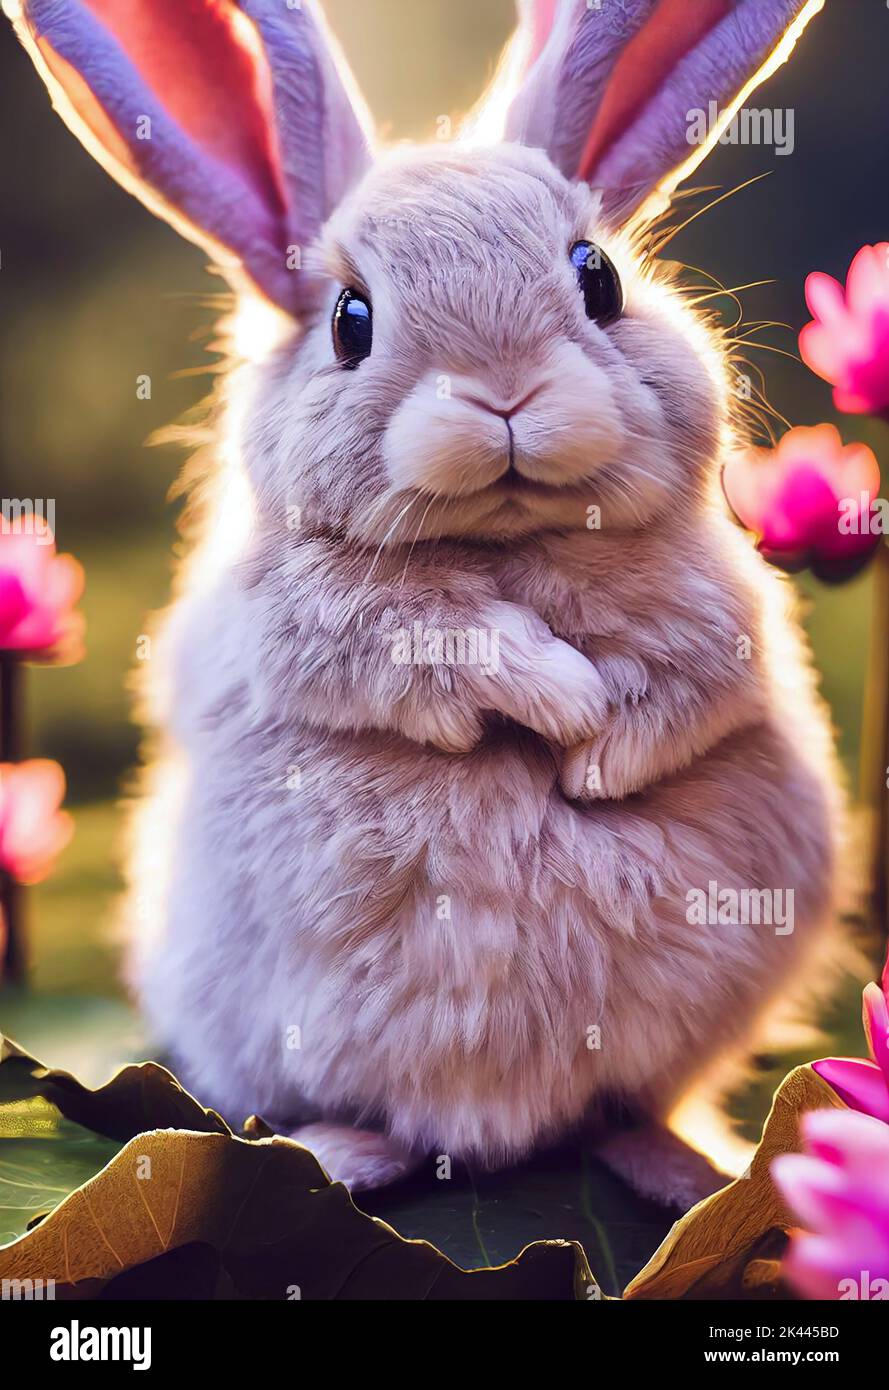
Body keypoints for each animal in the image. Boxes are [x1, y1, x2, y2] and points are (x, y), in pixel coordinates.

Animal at [11, 0, 841, 1204]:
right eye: (350, 320)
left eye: (599, 279)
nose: (505, 394)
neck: (501, 540)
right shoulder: (325, 629)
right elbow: (443, 649)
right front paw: (563, 705)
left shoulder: (721, 621)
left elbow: (682, 685)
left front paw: (593, 761)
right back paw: (341, 1157)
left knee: (630, 1107)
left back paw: (692, 1170)